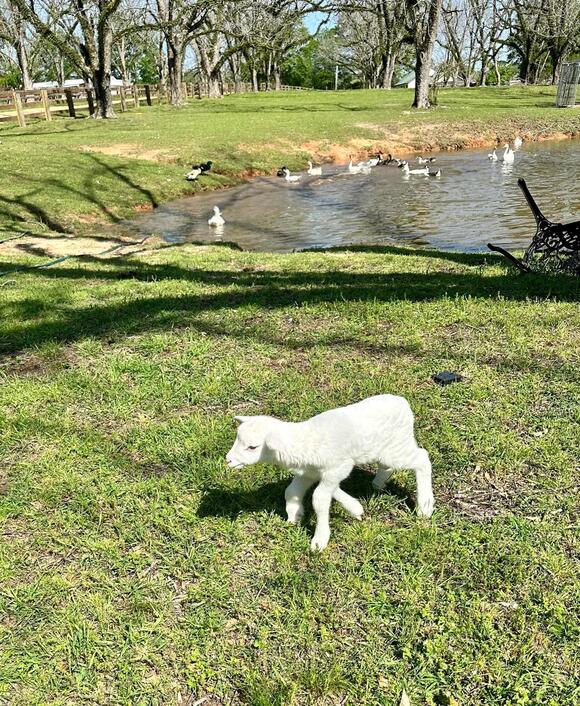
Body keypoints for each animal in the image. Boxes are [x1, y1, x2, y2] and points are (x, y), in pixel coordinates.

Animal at [225, 394, 434, 552]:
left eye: (252, 447)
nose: (228, 460)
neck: (303, 440)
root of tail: (403, 402)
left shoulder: (338, 467)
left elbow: (319, 498)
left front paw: (319, 540)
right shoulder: (310, 472)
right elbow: (292, 491)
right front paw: (295, 516)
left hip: (395, 449)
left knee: (422, 458)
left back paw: (425, 506)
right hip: (386, 449)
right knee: (391, 465)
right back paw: (379, 483)